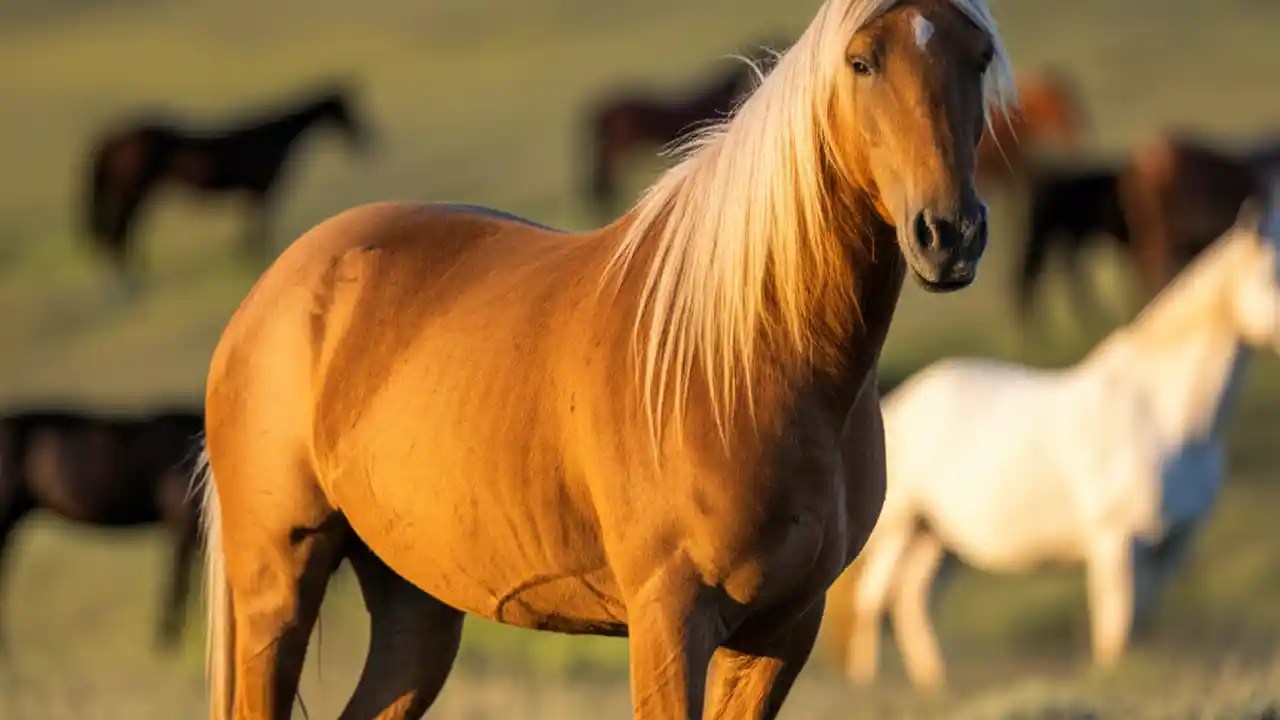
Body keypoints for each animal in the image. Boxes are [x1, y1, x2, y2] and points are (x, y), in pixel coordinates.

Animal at [86, 83, 369, 284]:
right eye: (346, 110)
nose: (367, 140)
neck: (274, 136)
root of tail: (112, 136)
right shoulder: (261, 192)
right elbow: (258, 230)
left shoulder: (252, 194)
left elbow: (251, 230)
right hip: (135, 192)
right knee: (121, 227)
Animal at [845, 195, 1280, 690]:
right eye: (1272, 276)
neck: (1162, 414)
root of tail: (903, 401)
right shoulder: (1117, 542)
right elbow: (1116, 632)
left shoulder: (1172, 546)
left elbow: (1139, 626)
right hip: (900, 525)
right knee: (873, 601)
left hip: (938, 539)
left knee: (914, 600)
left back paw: (939, 685)